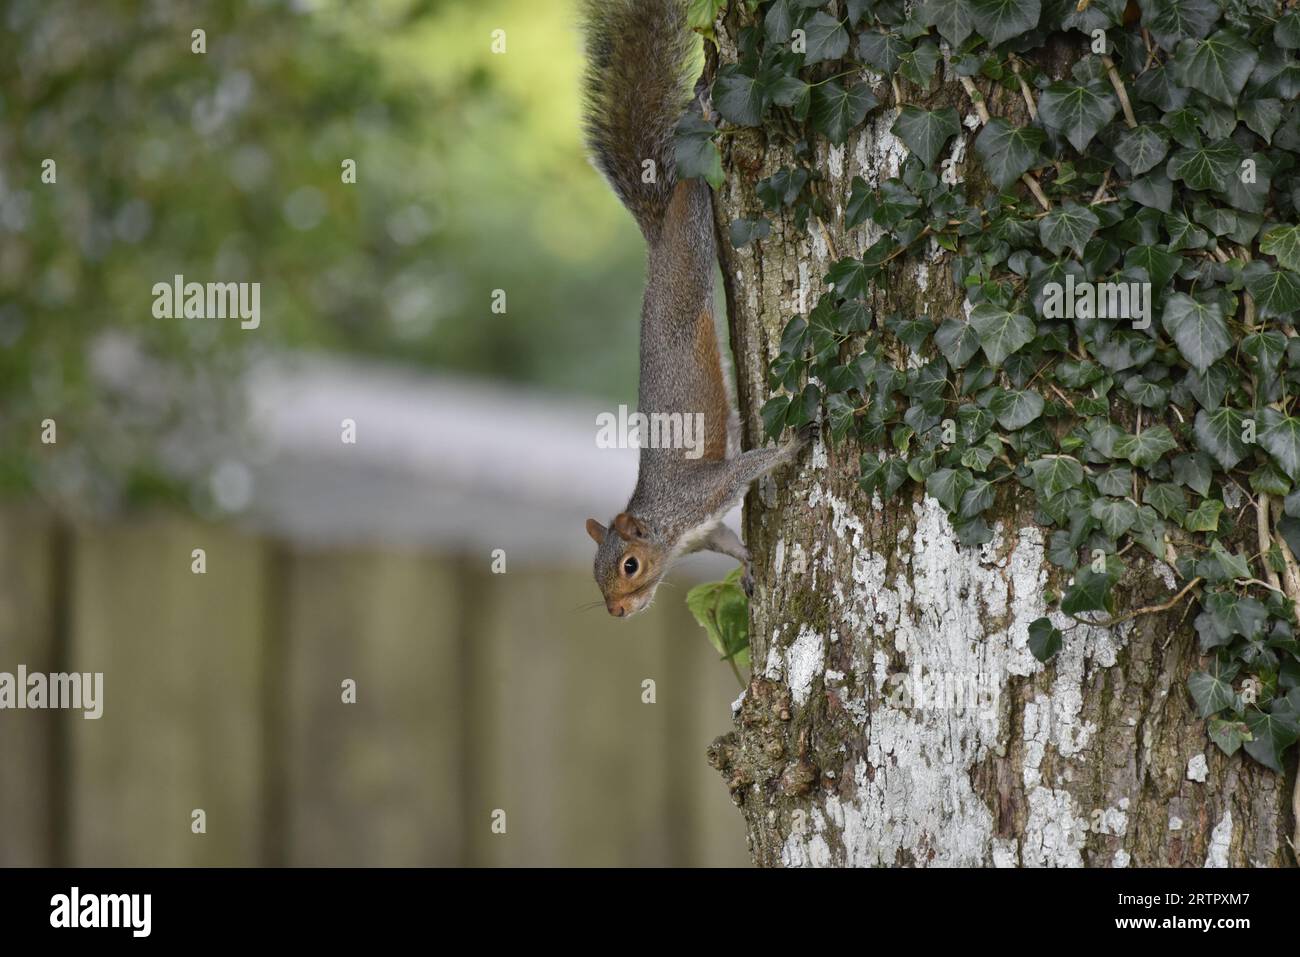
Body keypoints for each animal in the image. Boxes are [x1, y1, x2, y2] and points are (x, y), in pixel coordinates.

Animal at [582, 0, 811, 621]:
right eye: (595, 575)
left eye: (629, 566)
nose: (616, 613)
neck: (667, 527)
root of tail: (658, 240)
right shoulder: (707, 527)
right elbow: (730, 543)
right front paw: (751, 565)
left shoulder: (705, 492)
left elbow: (749, 466)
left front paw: (791, 444)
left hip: (691, 242)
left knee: (693, 190)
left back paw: (703, 105)